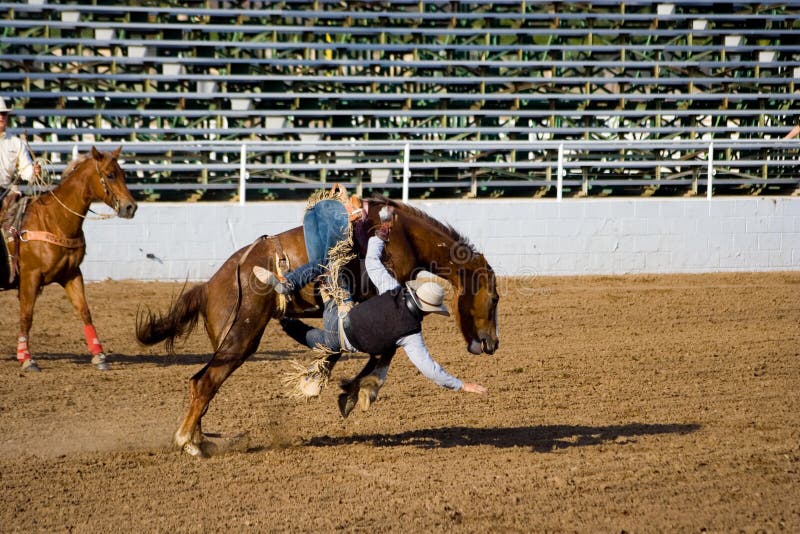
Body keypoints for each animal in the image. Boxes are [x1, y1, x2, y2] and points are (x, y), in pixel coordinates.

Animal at [1, 146, 137, 371]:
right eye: (110, 175)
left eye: (124, 174)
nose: (131, 207)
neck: (54, 219)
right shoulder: (30, 276)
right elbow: (26, 316)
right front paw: (26, 358)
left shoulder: (72, 274)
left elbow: (84, 311)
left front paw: (99, 355)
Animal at [135, 196, 499, 458]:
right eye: (494, 298)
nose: (492, 344)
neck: (405, 236)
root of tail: (210, 286)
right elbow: (383, 349)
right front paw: (358, 391)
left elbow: (365, 349)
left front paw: (344, 387)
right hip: (242, 337)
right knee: (204, 382)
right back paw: (189, 443)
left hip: (228, 340)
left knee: (204, 383)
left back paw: (199, 440)